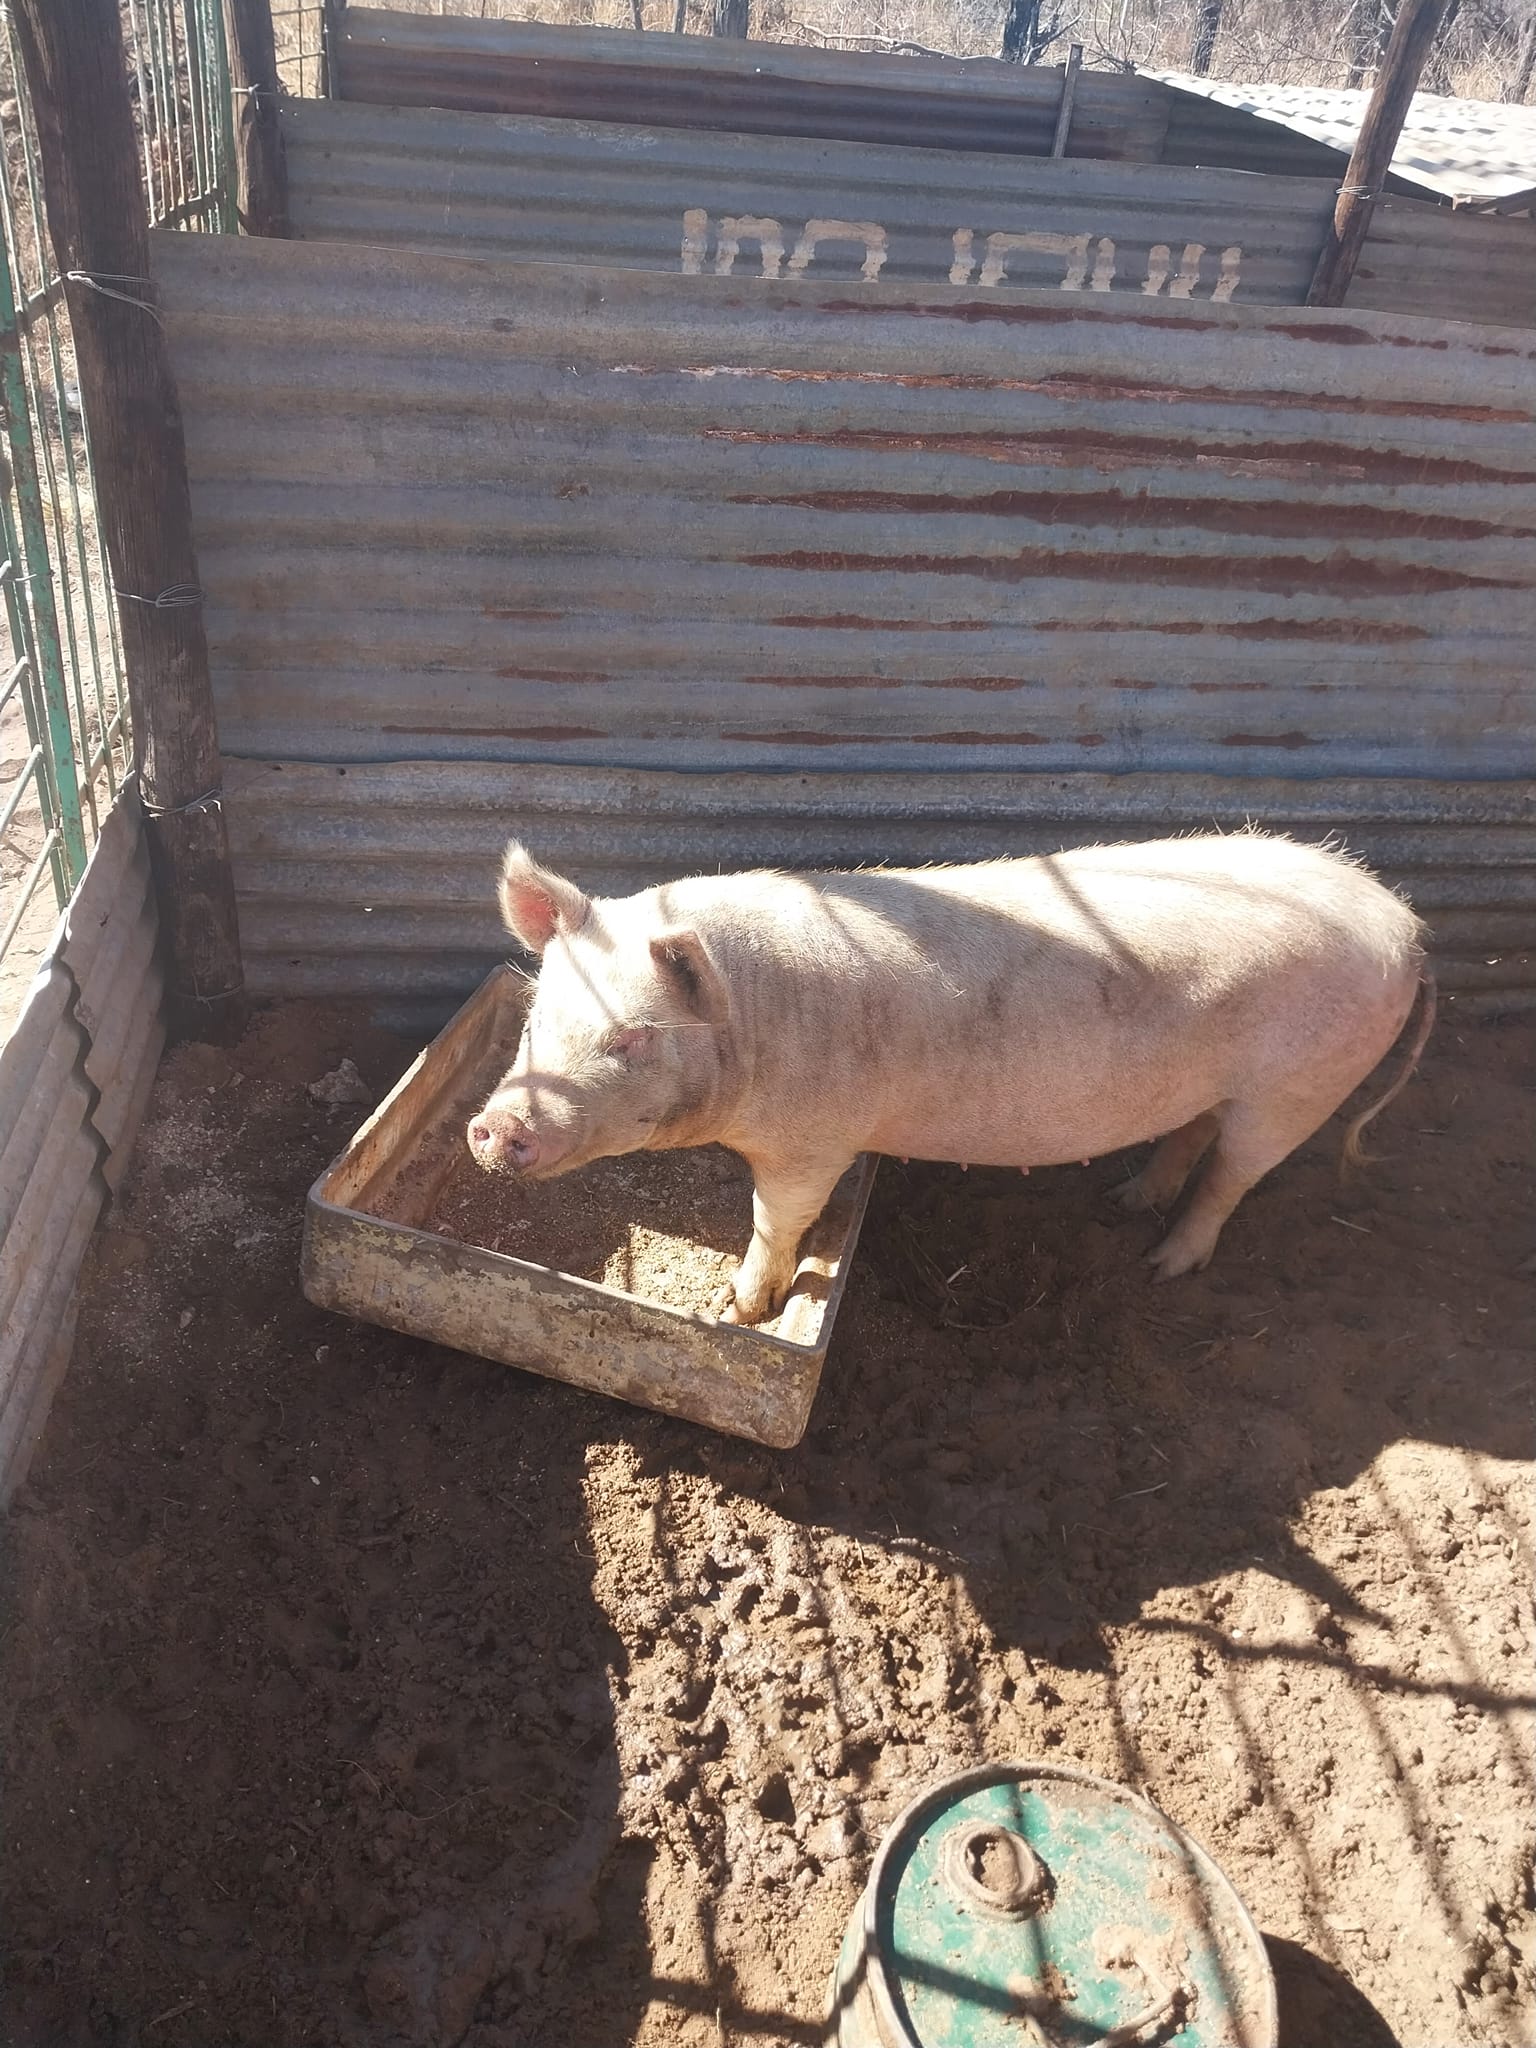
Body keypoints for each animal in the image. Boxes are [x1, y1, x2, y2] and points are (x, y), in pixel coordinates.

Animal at [467, 833, 1434, 1325]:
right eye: (540, 1013)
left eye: (633, 1038)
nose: (496, 1124)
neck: (763, 1020)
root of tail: (1406, 927)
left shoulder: (814, 1141)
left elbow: (778, 1221)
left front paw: (734, 1309)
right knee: (1192, 1136)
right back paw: (1126, 1202)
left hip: (1300, 1086)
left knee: (1234, 1176)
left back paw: (1162, 1266)